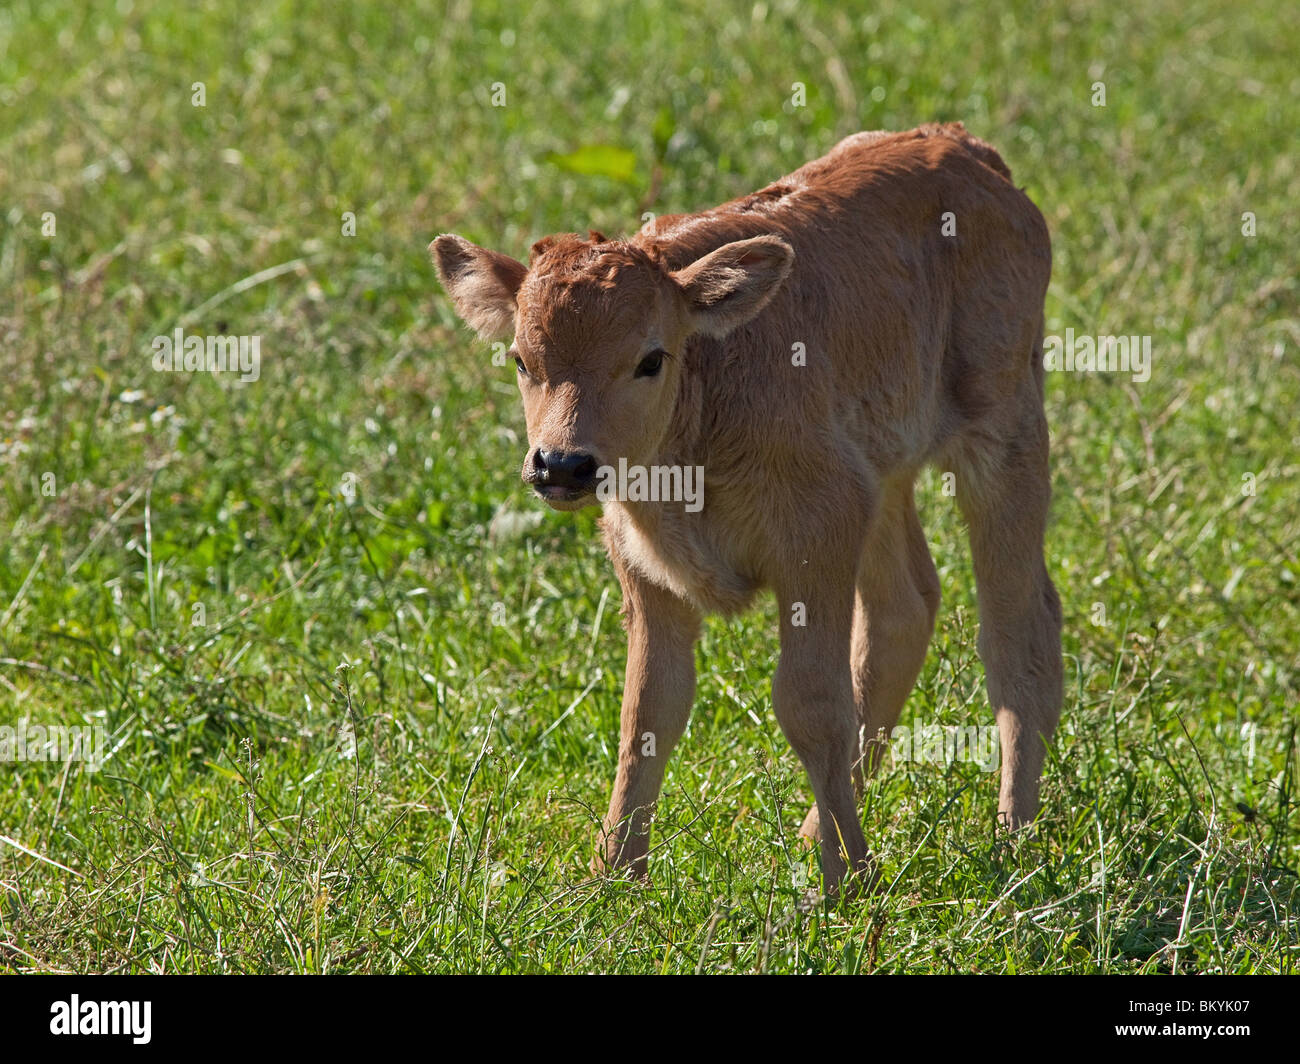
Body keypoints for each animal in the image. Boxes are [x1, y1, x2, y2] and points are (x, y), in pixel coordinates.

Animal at [431, 122, 1063, 893]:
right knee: (903, 611)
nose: (562, 464)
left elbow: (811, 705)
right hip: (882, 482)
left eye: (651, 358)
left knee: (1018, 633)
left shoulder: (816, 539)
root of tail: (964, 148)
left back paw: (1013, 843)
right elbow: (649, 711)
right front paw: (613, 876)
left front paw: (846, 883)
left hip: (1003, 437)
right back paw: (818, 829)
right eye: (522, 359)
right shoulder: (649, 572)